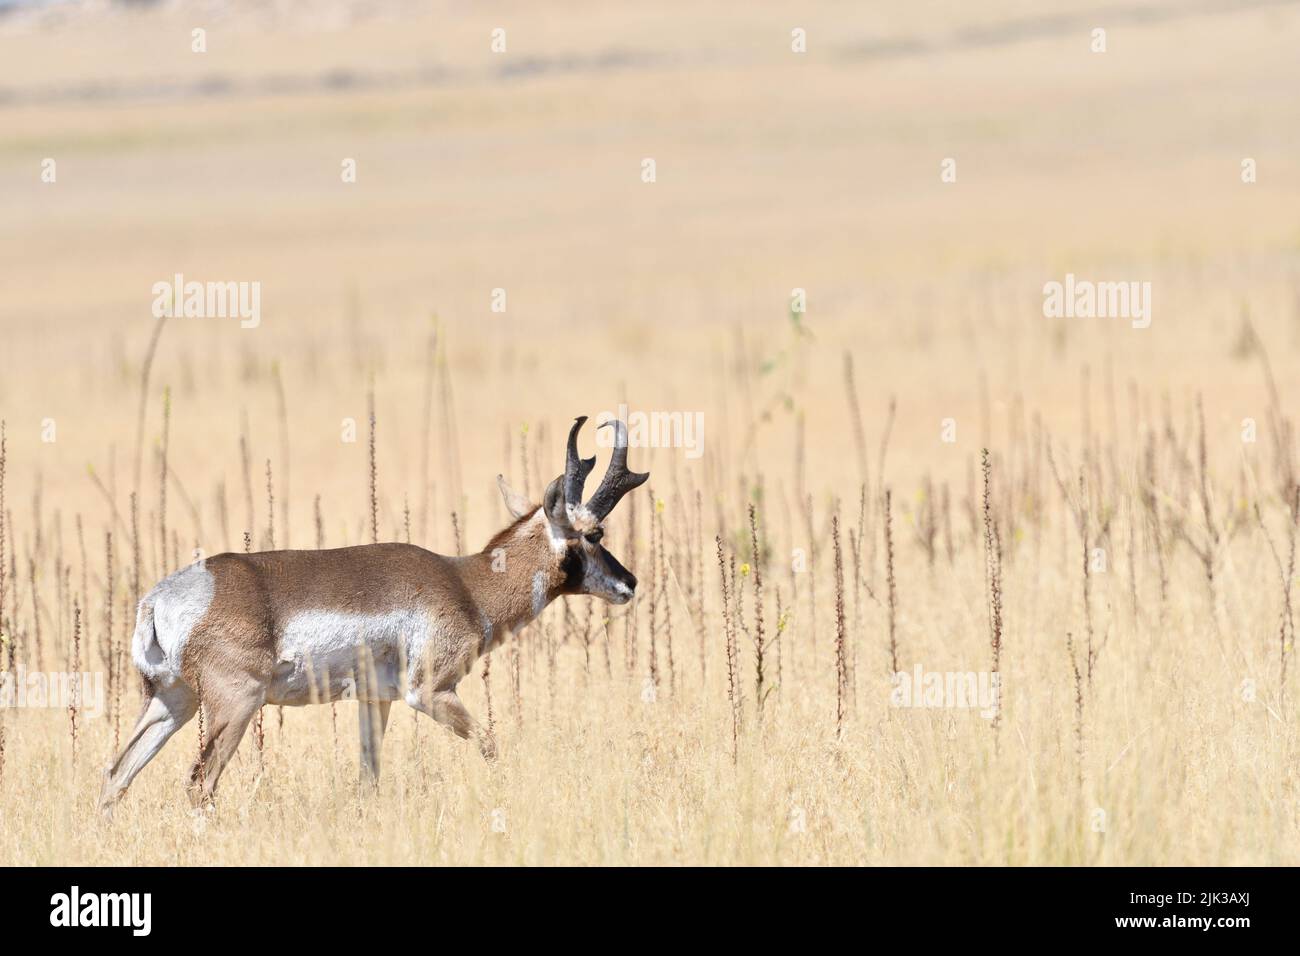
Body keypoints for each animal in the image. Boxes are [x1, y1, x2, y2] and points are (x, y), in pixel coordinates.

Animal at [98, 416, 646, 814]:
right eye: (593, 533)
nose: (631, 584)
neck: (465, 583)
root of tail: (160, 598)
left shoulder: (374, 700)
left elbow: (368, 779)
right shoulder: (430, 693)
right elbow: (491, 746)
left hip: (172, 702)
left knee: (115, 775)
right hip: (235, 705)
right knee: (197, 784)